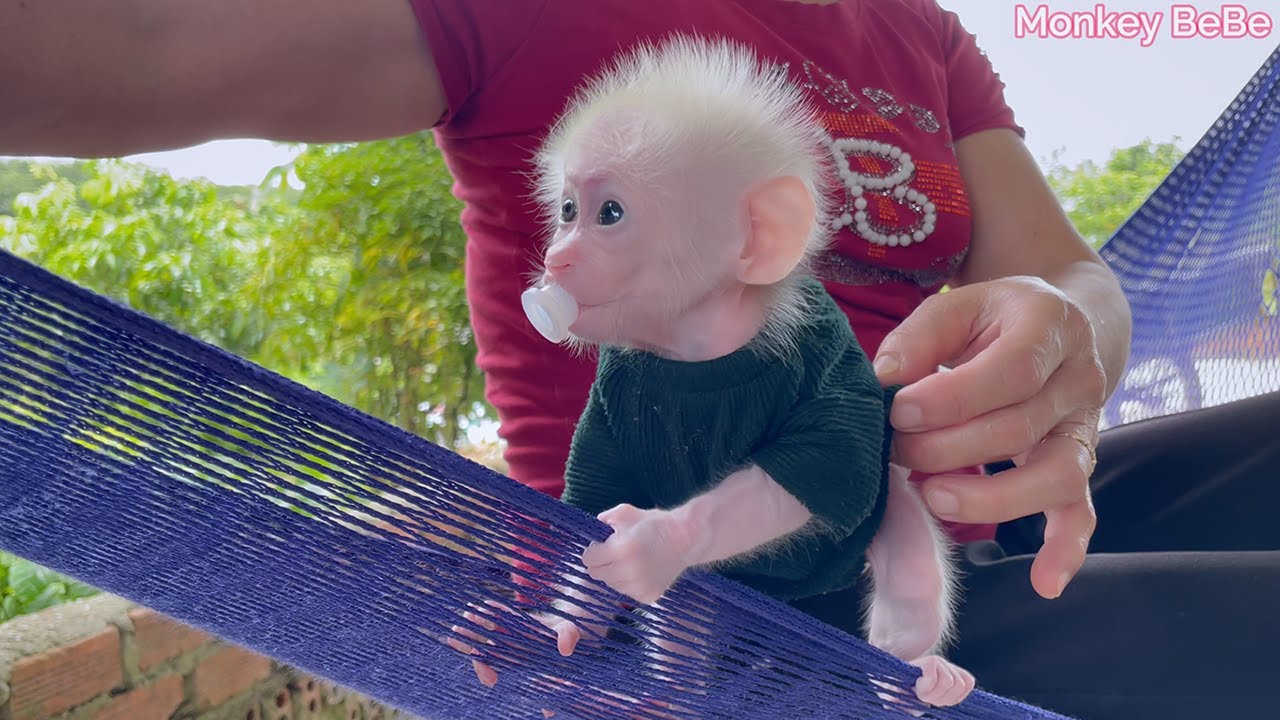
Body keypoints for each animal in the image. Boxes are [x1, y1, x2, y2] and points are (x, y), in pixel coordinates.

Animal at [454, 34, 975, 710]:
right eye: (567, 210)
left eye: (610, 214)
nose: (557, 259)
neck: (697, 348)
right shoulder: (610, 399)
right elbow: (596, 508)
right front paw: (549, 629)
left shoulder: (826, 357)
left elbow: (817, 467)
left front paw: (658, 542)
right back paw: (666, 694)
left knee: (909, 556)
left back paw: (915, 669)